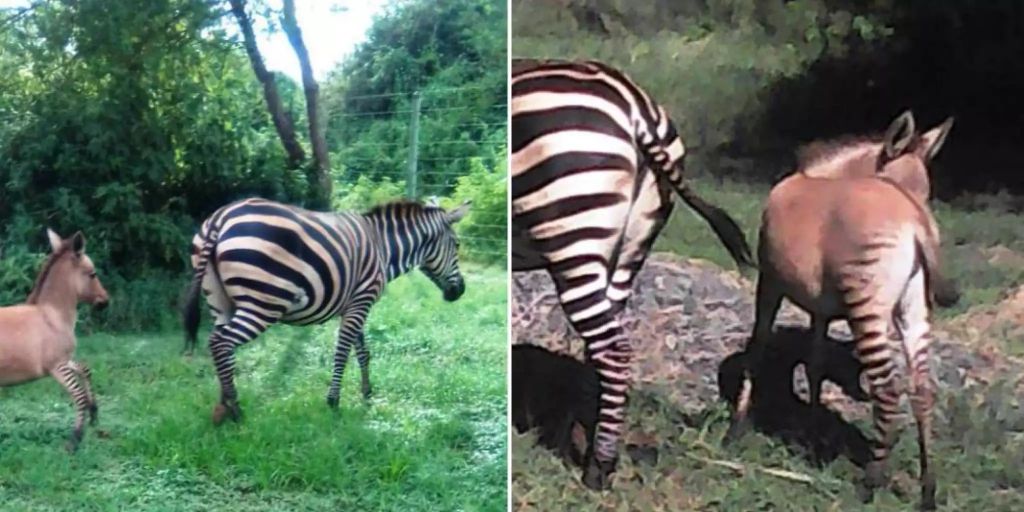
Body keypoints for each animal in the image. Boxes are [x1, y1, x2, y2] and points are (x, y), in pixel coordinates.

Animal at [181, 197, 471, 424]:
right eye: (457, 245)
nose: (460, 291)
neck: (383, 248)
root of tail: (220, 217)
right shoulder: (361, 300)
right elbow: (342, 352)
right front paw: (333, 402)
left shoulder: (354, 304)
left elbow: (363, 351)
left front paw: (367, 394)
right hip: (263, 303)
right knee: (221, 343)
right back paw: (236, 410)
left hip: (220, 302)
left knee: (221, 347)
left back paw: (223, 407)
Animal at [511, 58, 755, 489]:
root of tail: (635, 104)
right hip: (629, 248)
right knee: (603, 350)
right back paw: (589, 437)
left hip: (574, 235)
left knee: (611, 348)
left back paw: (599, 468)